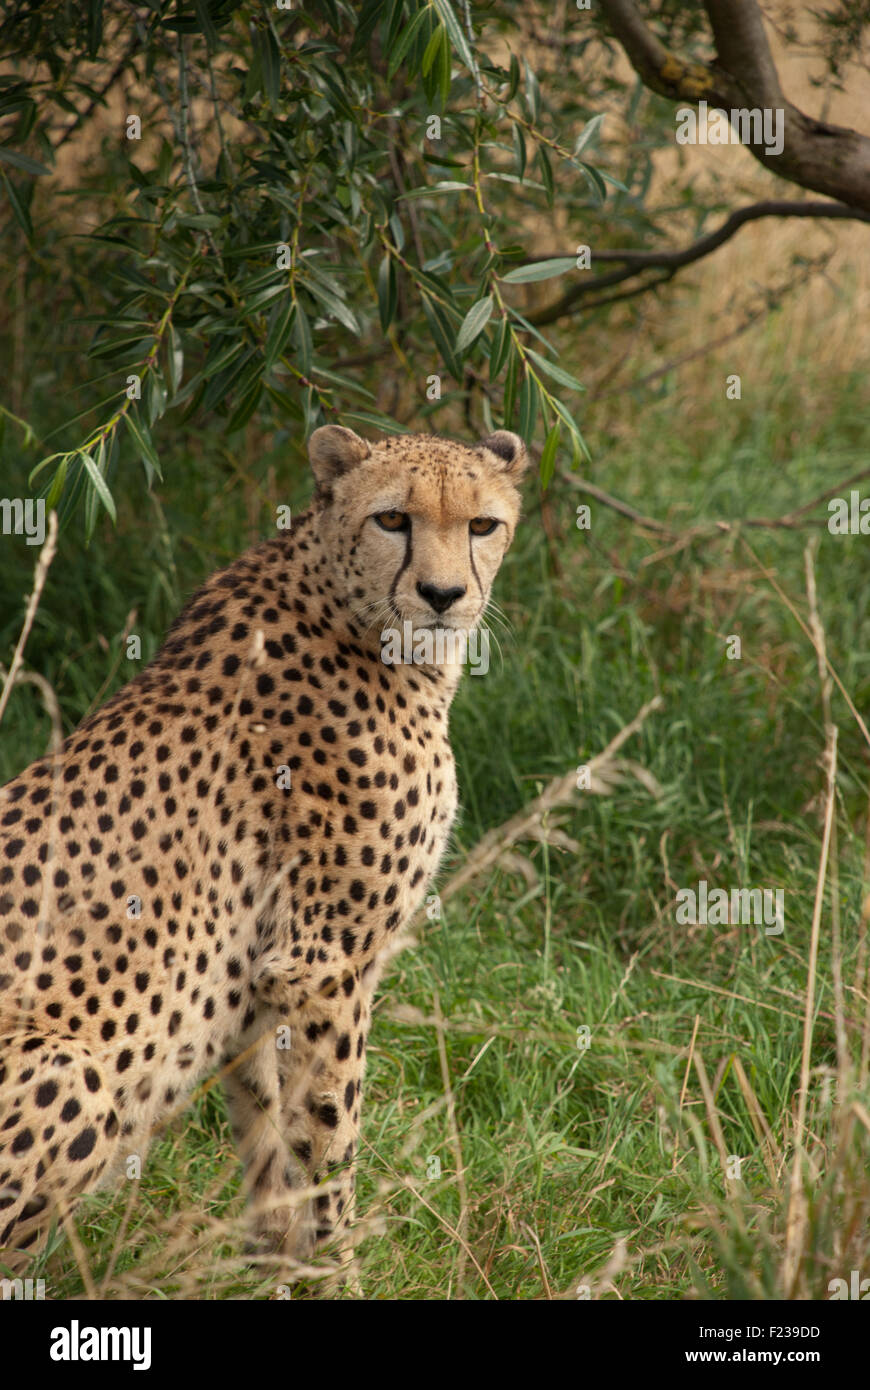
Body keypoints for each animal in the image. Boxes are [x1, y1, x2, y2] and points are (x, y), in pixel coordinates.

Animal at [0, 422, 528, 1284]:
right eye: (393, 519)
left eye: (483, 525)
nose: (445, 595)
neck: (348, 607)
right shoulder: (324, 963)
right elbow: (328, 1138)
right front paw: (339, 1275)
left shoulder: (261, 976)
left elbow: (269, 1135)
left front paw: (277, 1270)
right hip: (73, 1069)